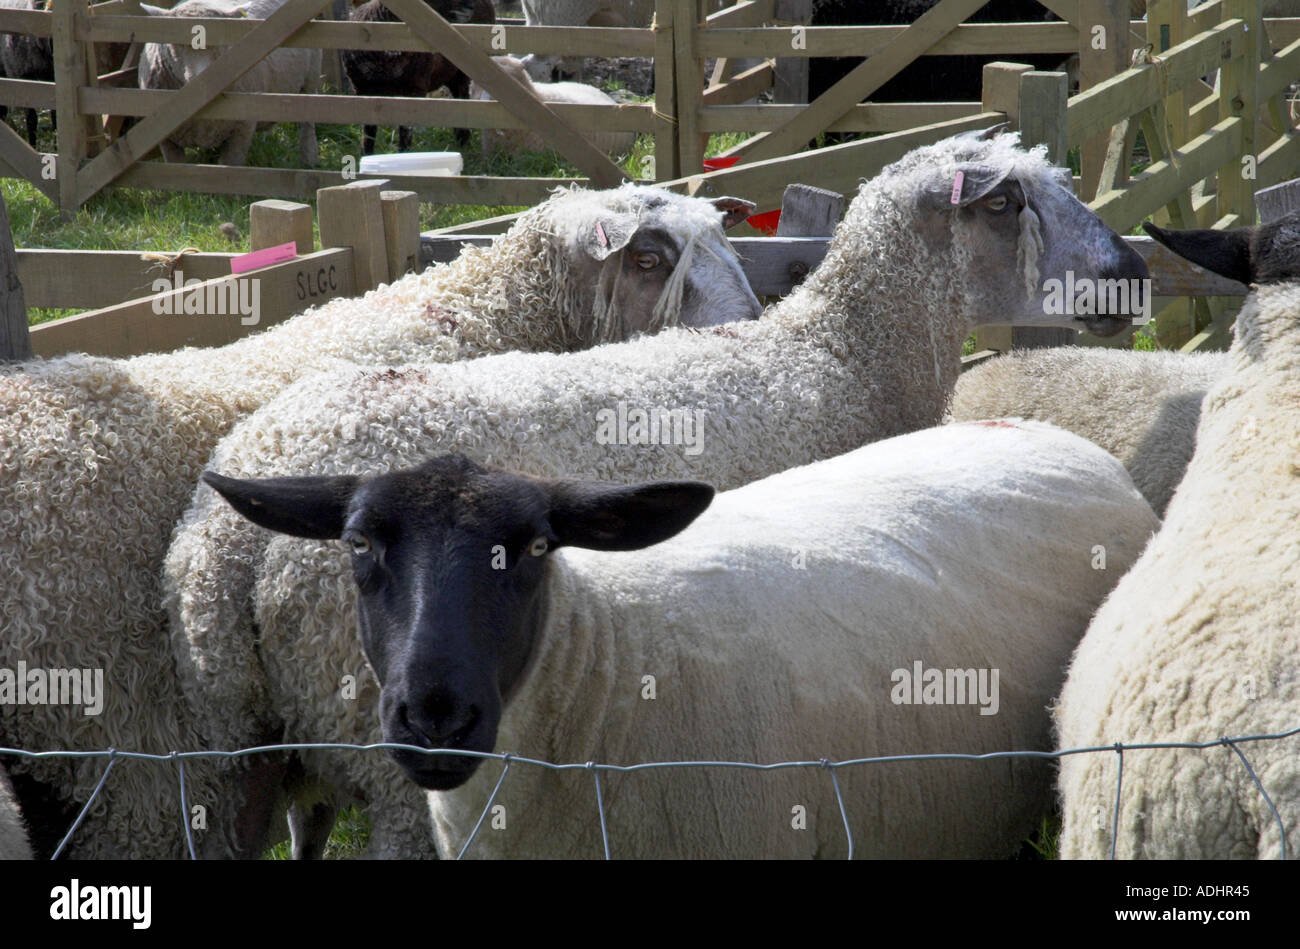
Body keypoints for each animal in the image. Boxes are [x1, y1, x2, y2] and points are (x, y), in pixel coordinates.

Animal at [0, 183, 761, 860]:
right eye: (648, 259)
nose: (744, 326)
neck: (489, 311)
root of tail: (226, 550)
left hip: (222, 735)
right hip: (128, 742)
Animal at [136, 0, 321, 167]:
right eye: (175, 43)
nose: (201, 79)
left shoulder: (243, 127)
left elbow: (231, 165)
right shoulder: (164, 137)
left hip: (311, 78)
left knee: (307, 123)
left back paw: (309, 160)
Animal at [341, 0, 495, 155]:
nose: (470, 7)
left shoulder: (415, 89)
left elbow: (405, 132)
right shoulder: (362, 90)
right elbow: (368, 133)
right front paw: (365, 155)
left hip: (466, 69)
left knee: (463, 99)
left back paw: (464, 144)